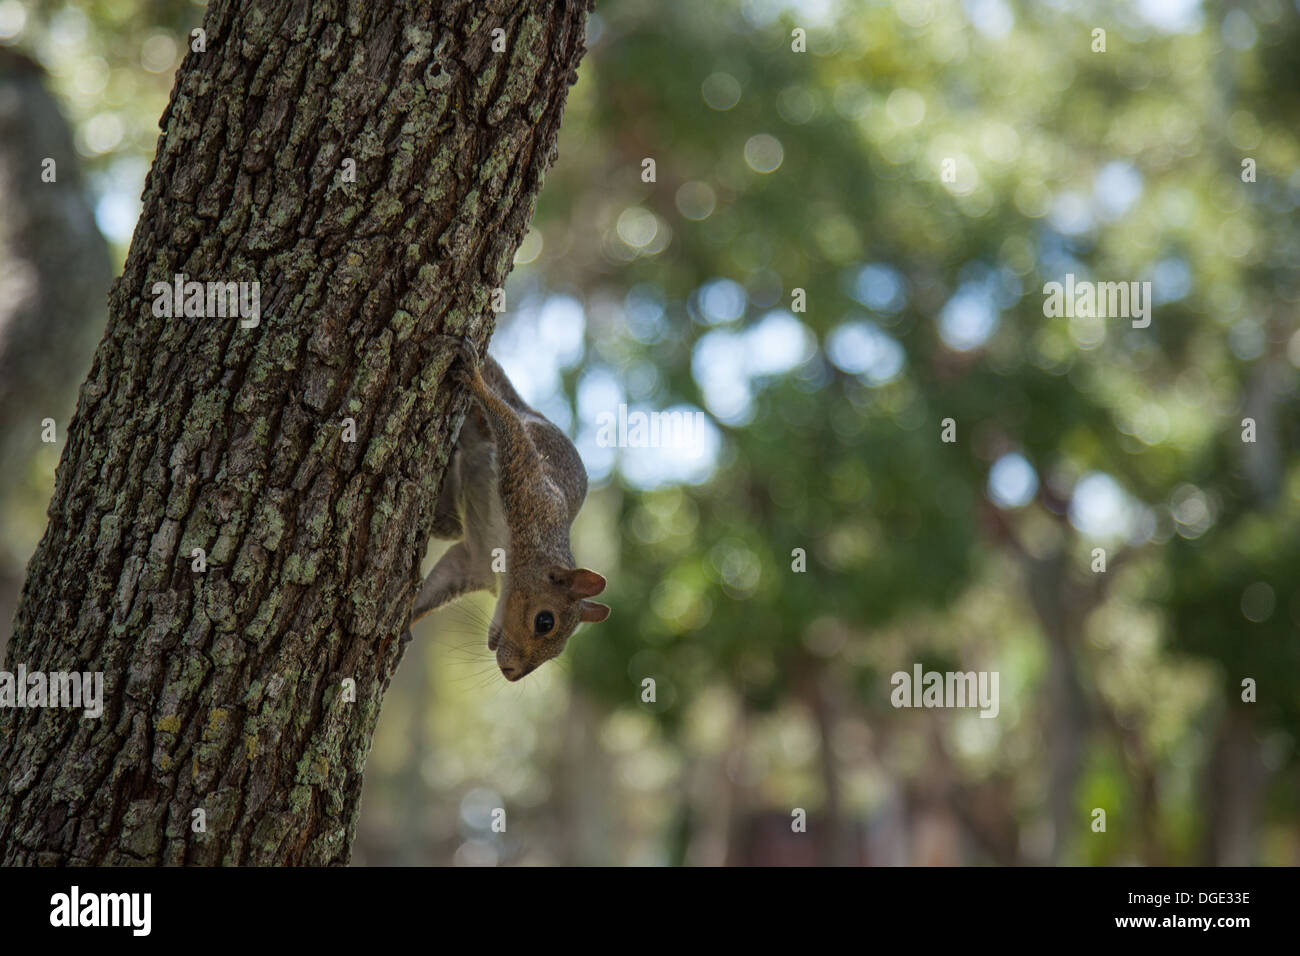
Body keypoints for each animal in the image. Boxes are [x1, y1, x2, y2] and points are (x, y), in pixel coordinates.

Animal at [410, 338, 609, 681]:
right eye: (545, 622)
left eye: (558, 652)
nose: (513, 674)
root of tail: (530, 408)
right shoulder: (527, 488)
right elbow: (510, 429)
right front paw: (475, 380)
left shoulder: (470, 562)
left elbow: (436, 589)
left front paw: (402, 619)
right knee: (503, 413)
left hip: (450, 521)